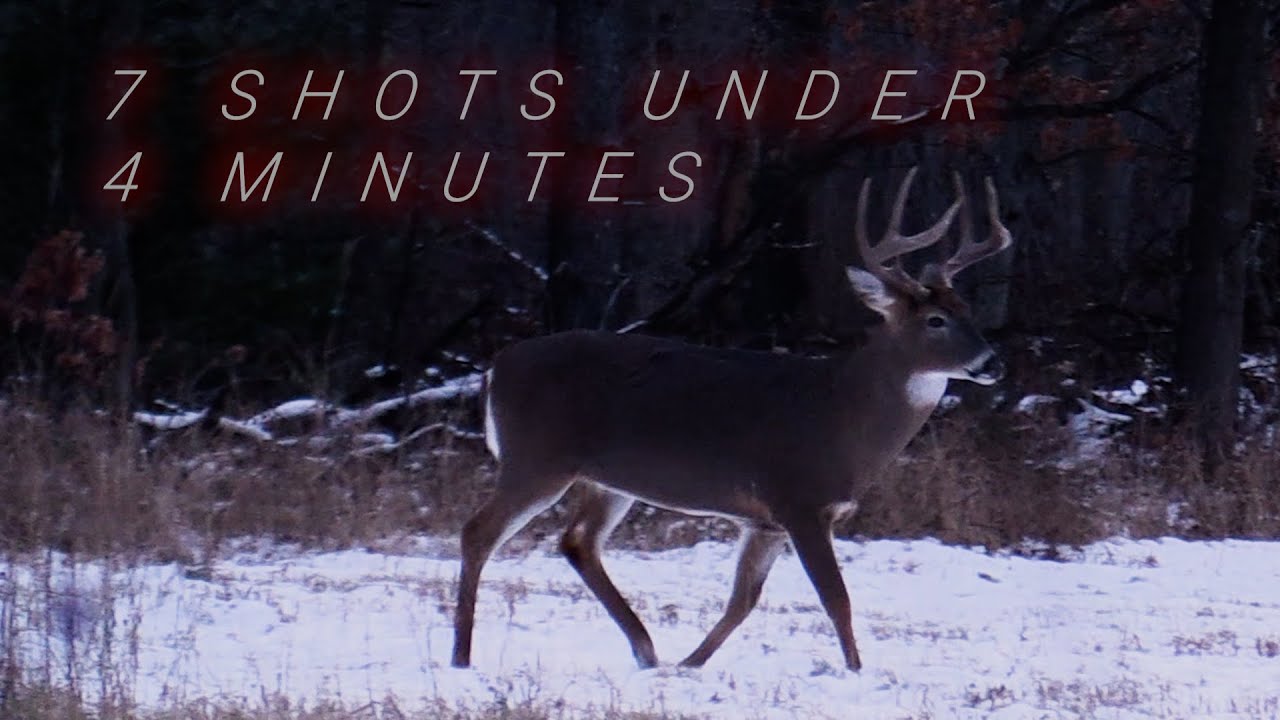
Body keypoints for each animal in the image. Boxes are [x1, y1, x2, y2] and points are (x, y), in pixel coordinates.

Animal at [452, 167, 1013, 672]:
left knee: (577, 541)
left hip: (606, 480)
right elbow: (836, 598)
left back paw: (648, 652)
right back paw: (462, 657)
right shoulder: (799, 500)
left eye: (967, 309)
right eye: (935, 320)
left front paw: (690, 664)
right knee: (478, 531)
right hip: (536, 458)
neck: (844, 414)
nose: (992, 364)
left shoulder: (763, 520)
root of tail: (495, 369)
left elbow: (743, 600)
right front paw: (857, 672)